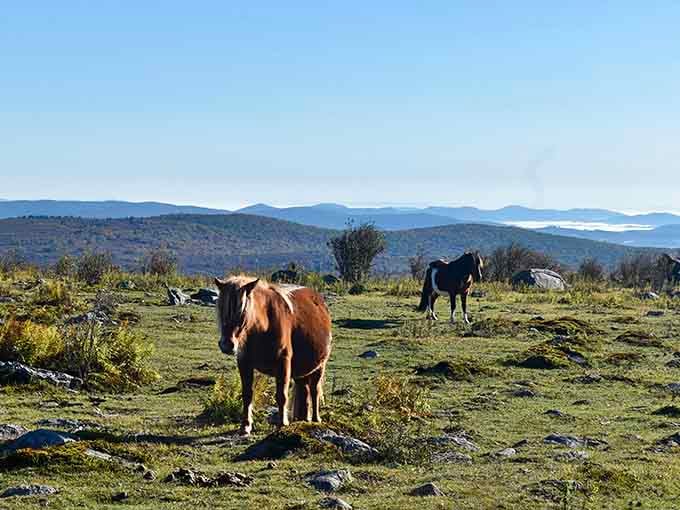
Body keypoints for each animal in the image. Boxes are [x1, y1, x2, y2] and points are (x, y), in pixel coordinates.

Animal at [214, 276, 332, 436]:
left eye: (242, 312)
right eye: (221, 310)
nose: (227, 344)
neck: (262, 327)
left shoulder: (283, 362)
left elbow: (281, 395)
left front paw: (282, 423)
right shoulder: (244, 363)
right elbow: (247, 394)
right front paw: (245, 426)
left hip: (319, 366)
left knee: (315, 391)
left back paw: (315, 419)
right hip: (301, 371)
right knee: (304, 391)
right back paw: (302, 419)